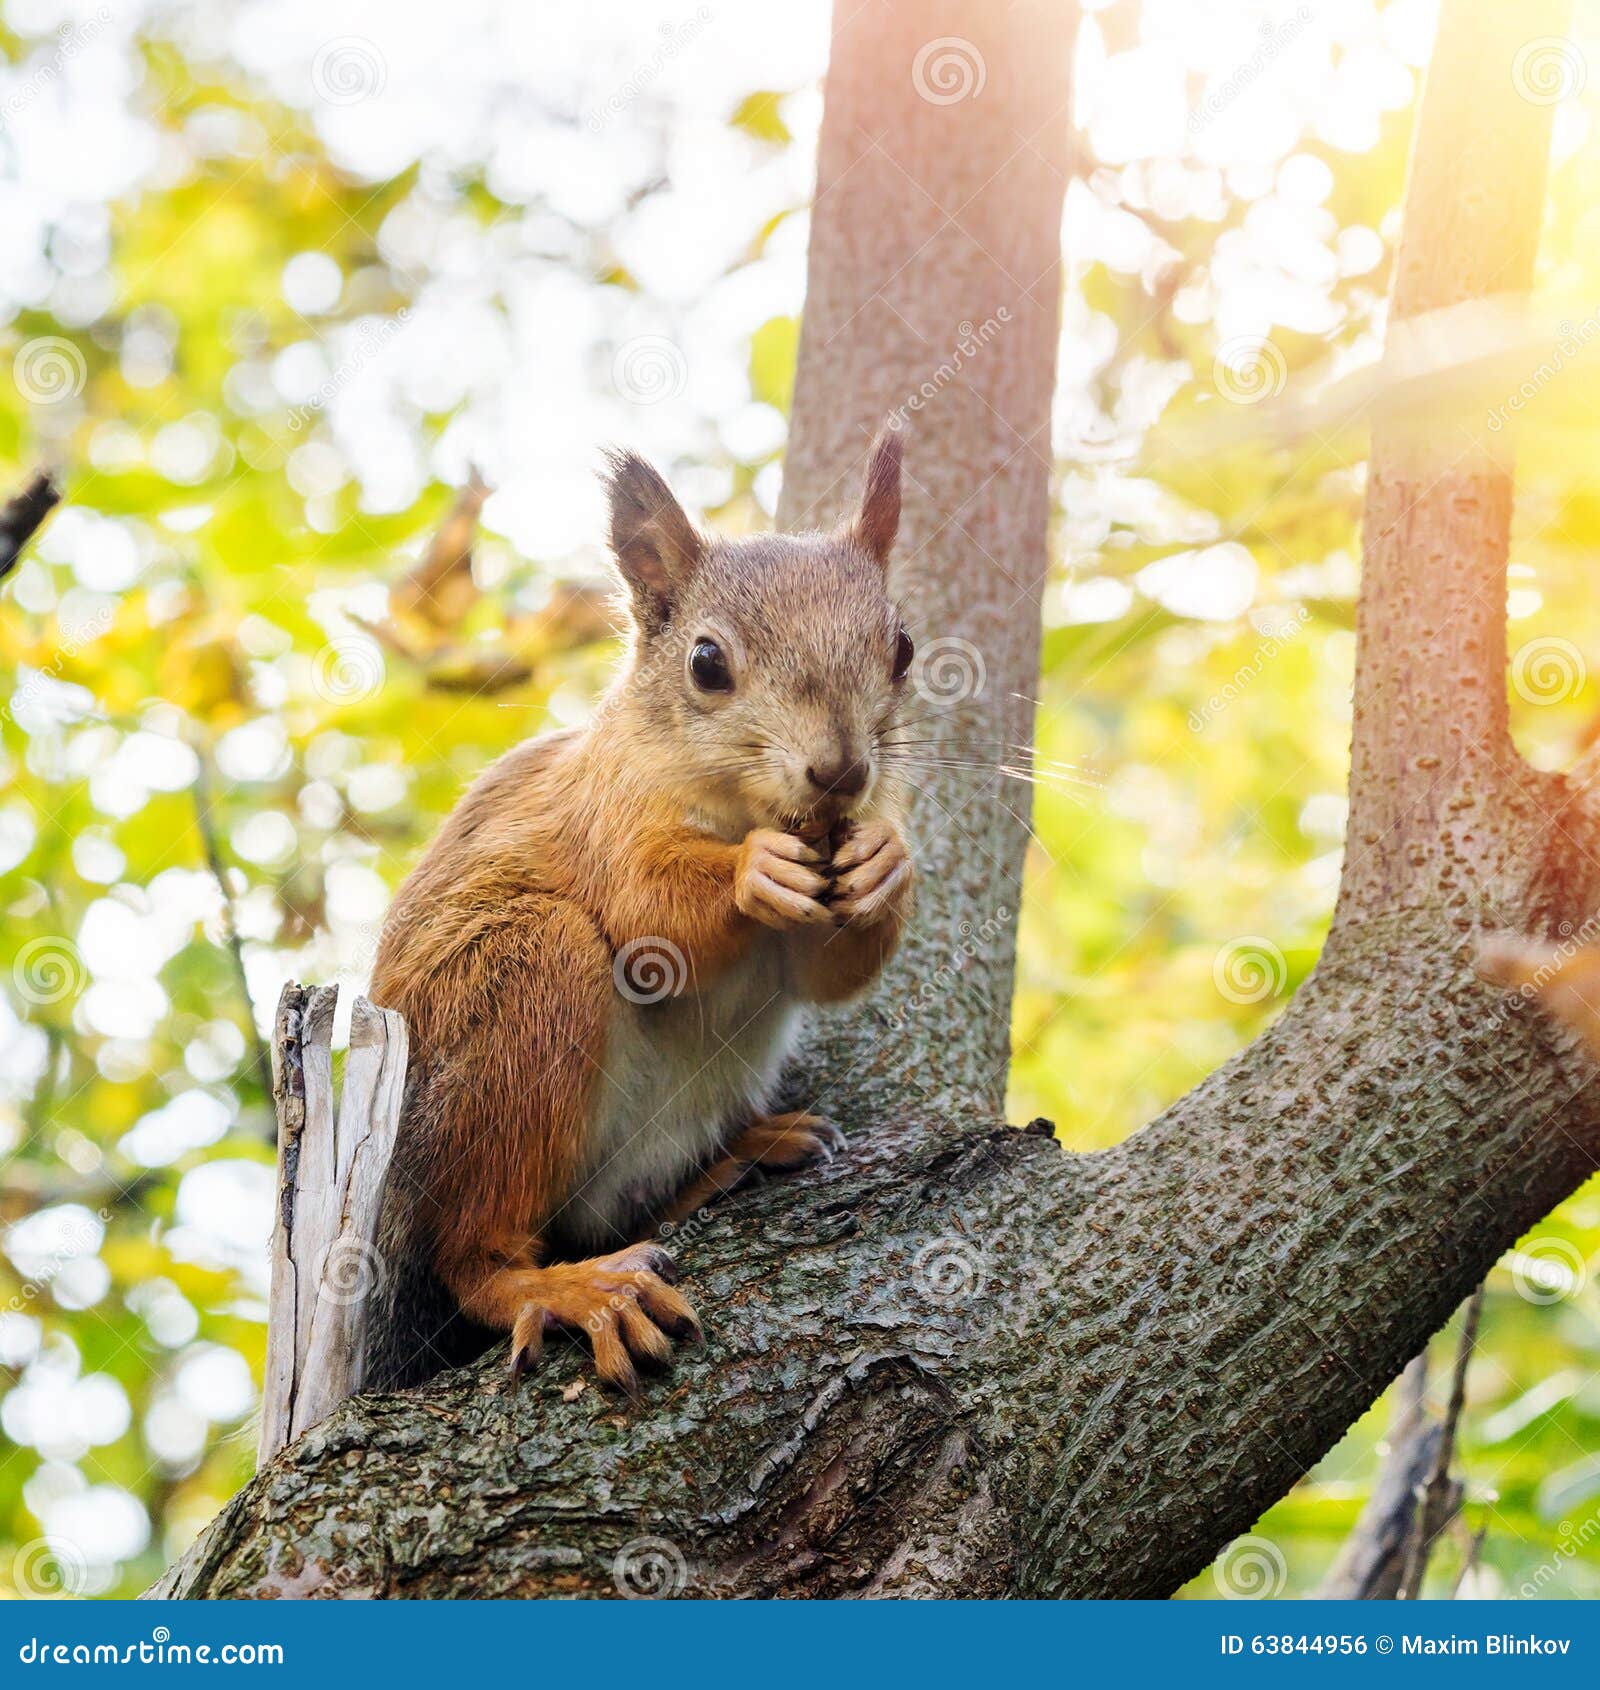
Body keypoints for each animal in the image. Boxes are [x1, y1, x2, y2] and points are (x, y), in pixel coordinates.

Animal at [364, 429, 916, 1395]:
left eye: (906, 648)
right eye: (707, 664)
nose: (841, 772)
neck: (746, 808)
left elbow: (828, 972)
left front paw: (886, 861)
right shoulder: (605, 815)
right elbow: (648, 906)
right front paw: (752, 872)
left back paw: (735, 1162)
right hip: (519, 990)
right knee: (476, 1257)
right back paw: (572, 1289)